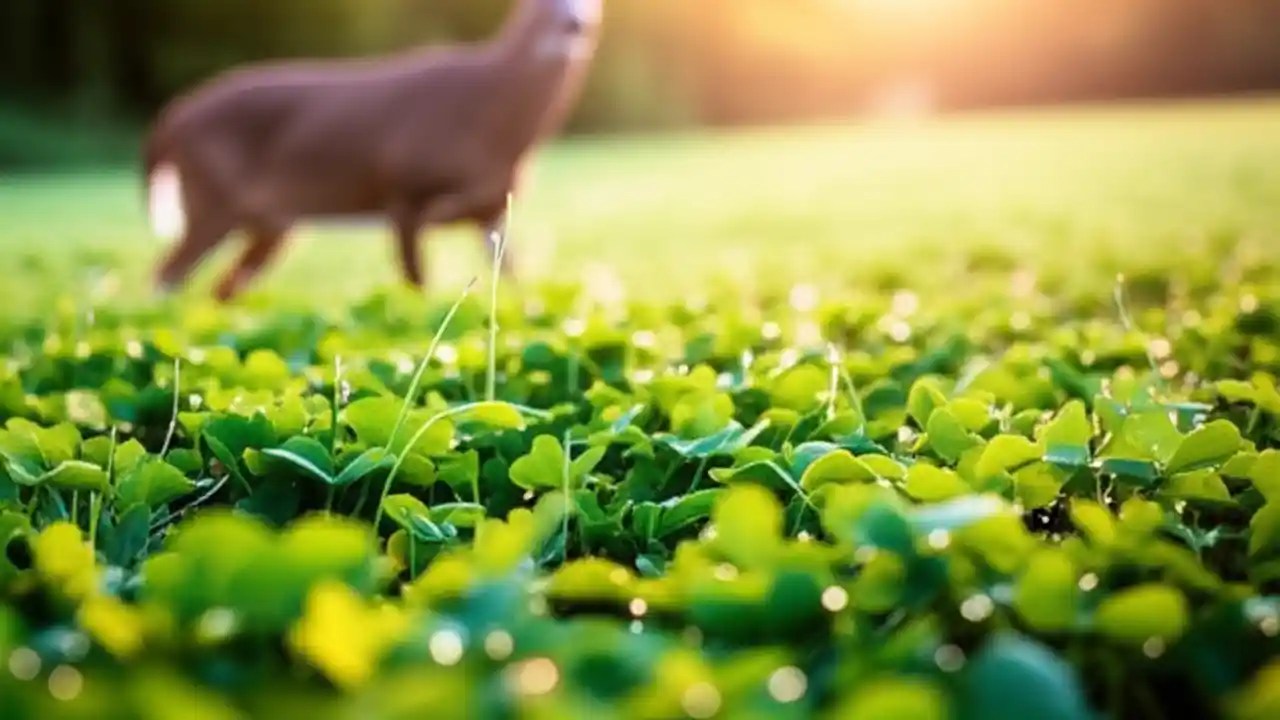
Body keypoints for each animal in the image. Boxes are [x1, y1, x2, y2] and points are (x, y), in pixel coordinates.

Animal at [144, 0, 603, 301]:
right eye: (537, 0)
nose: (574, 23)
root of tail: (173, 117)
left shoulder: (490, 210)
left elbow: (514, 279)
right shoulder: (403, 194)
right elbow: (418, 287)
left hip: (270, 221)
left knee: (222, 287)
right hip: (211, 196)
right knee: (166, 274)